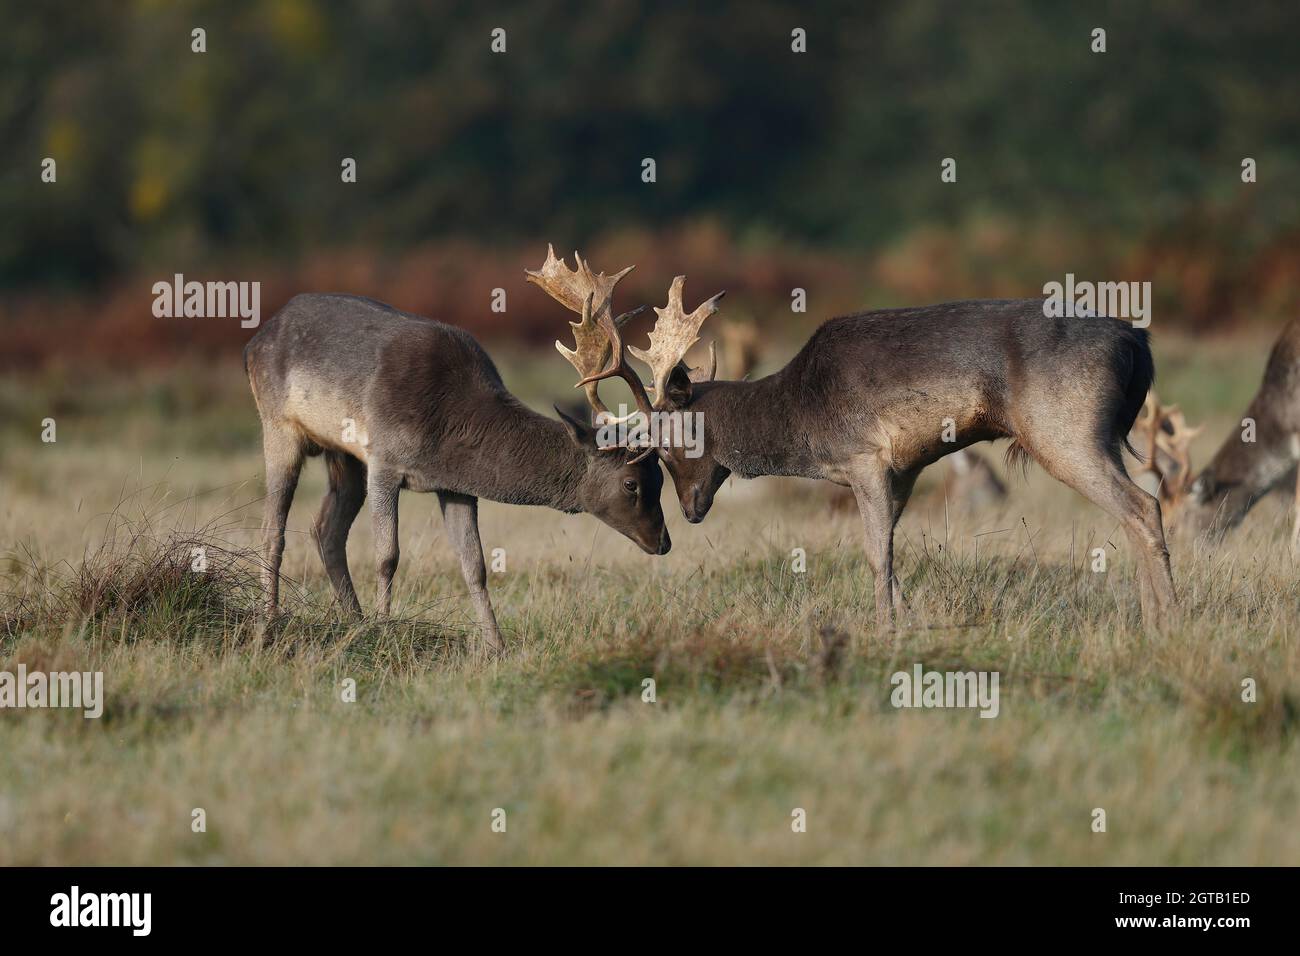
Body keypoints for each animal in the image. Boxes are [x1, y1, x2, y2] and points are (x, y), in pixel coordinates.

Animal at [243, 249, 670, 654]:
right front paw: (384, 629)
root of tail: (253, 342)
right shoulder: (384, 459)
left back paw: (353, 620)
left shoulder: (456, 485)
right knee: (272, 529)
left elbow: (474, 564)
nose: (663, 542)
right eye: (631, 483)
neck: (446, 424)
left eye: (661, 478)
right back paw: (271, 621)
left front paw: (497, 647)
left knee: (325, 530)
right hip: (278, 424)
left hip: (342, 455)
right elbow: (387, 556)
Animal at [576, 280, 1178, 628]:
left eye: (668, 444)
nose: (691, 509)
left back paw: (1168, 619)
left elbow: (874, 552)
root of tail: (1137, 344)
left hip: (1064, 429)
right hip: (1094, 436)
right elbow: (889, 546)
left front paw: (884, 627)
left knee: (1142, 506)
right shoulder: (907, 468)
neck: (803, 421)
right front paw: (906, 619)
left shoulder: (865, 458)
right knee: (1137, 508)